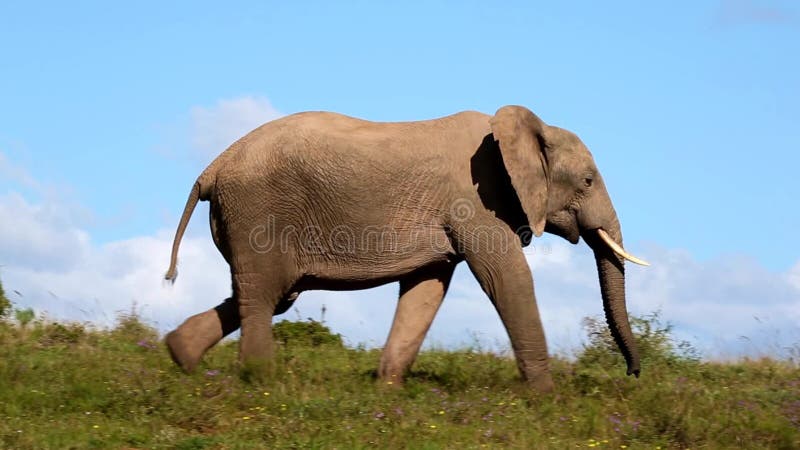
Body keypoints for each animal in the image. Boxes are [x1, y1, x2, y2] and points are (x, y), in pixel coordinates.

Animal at [163, 105, 649, 392]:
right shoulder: (477, 198)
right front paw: (545, 399)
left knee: (268, 294)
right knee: (266, 294)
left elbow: (426, 289)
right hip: (258, 211)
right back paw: (261, 382)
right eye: (587, 181)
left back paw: (179, 354)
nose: (633, 374)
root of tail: (211, 168)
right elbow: (506, 278)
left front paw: (387, 388)